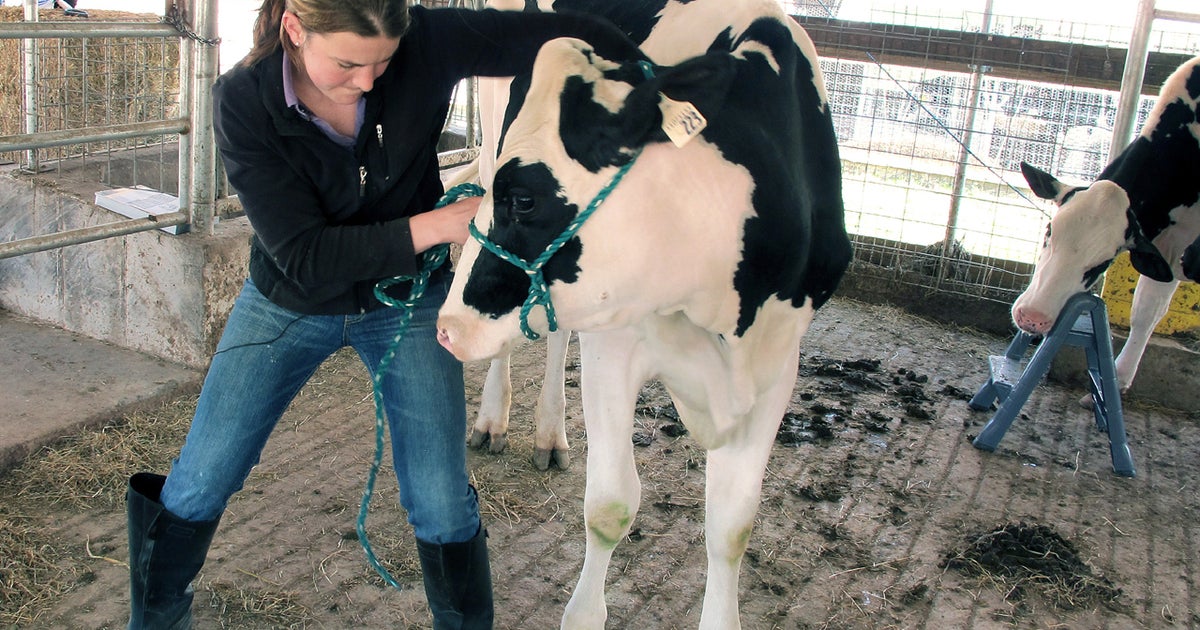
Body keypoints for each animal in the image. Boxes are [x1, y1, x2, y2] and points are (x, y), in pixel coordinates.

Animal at [437, 0, 851, 626]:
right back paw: (493, 419)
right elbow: (610, 506)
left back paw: (550, 432)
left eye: (526, 198)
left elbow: (732, 525)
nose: (447, 327)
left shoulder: (778, 361)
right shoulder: (616, 345)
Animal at [1012, 55, 1200, 401]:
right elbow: (1146, 311)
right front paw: (1120, 377)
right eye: (1049, 231)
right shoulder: (1169, 247)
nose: (1033, 318)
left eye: (1103, 263)